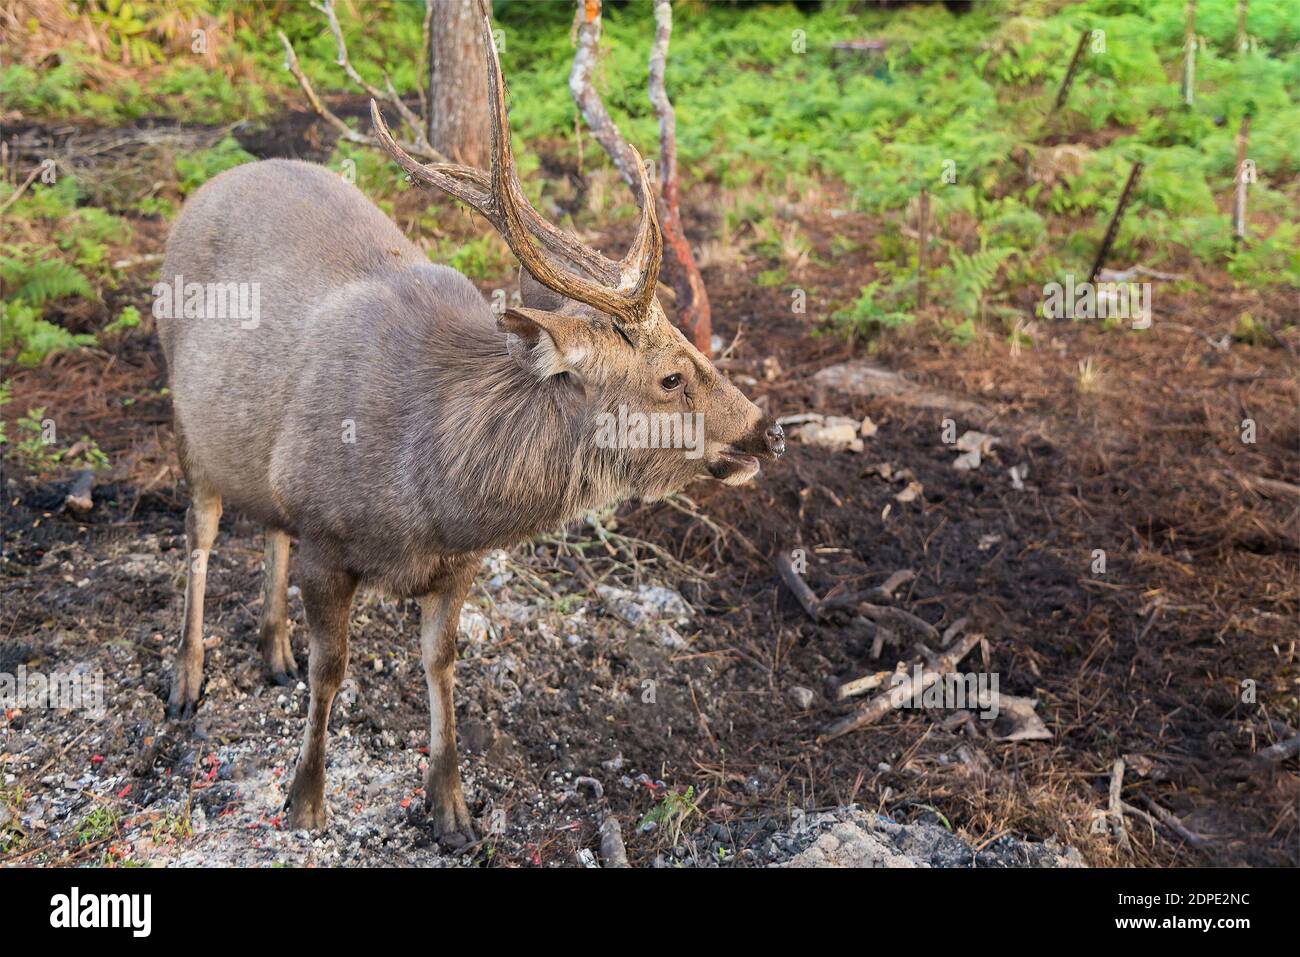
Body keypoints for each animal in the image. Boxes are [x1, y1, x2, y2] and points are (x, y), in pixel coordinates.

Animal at [155, 11, 783, 840]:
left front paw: (451, 803)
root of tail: (211, 185)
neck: (434, 494)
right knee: (198, 534)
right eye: (671, 376)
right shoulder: (327, 535)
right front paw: (306, 798)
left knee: (266, 523)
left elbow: (441, 663)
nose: (762, 432)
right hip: (183, 414)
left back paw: (273, 649)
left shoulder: (459, 564)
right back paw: (187, 678)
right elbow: (334, 670)